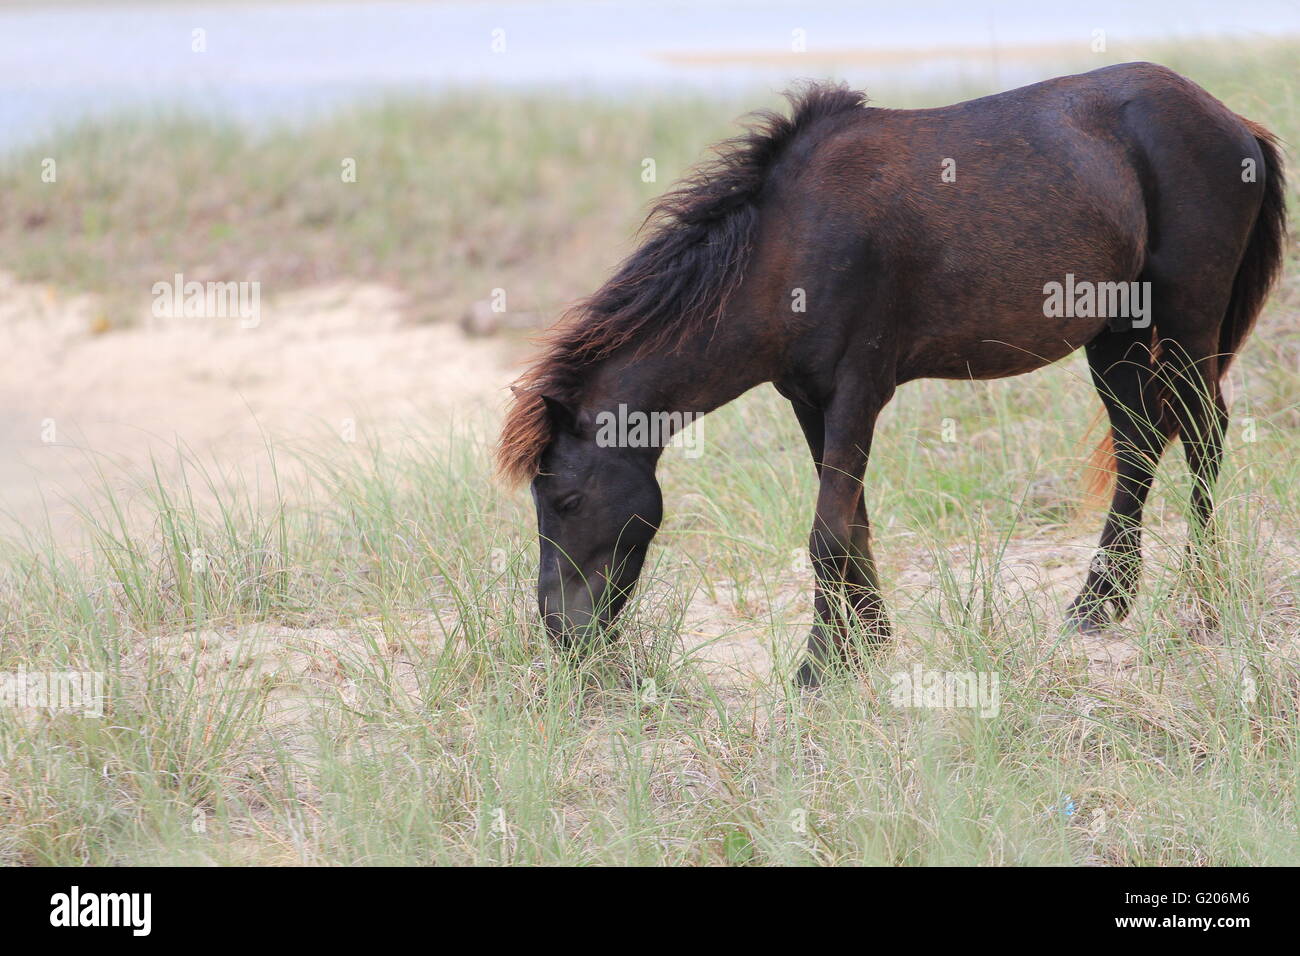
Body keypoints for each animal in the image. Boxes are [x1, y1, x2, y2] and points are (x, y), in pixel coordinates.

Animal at [497, 62, 1287, 686]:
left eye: (565, 500)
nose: (561, 635)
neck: (788, 243)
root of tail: (1233, 123)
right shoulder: (809, 400)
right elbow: (853, 524)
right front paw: (868, 643)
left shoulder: (859, 391)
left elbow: (827, 531)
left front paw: (820, 665)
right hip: (1114, 337)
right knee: (1139, 445)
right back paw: (1100, 604)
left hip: (1185, 323)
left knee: (1203, 433)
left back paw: (1203, 597)